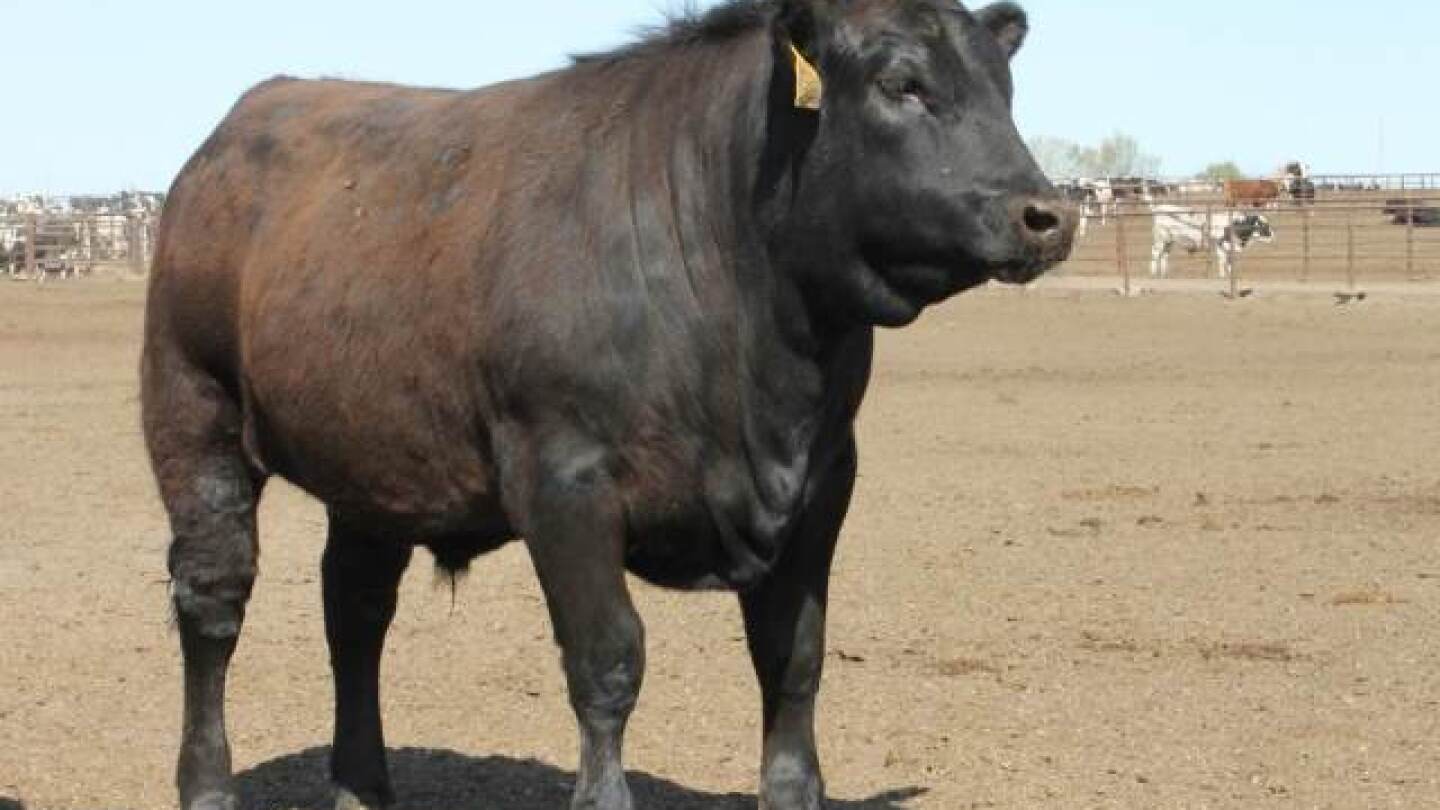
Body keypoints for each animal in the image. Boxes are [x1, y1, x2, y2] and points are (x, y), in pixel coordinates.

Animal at [139, 3, 1077, 810]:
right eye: (901, 84)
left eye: (1003, 86)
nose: (1047, 215)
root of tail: (243, 122)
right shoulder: (565, 484)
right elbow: (608, 662)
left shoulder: (822, 482)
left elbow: (795, 658)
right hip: (192, 410)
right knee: (214, 602)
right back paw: (208, 784)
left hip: (376, 463)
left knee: (356, 612)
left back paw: (363, 788)